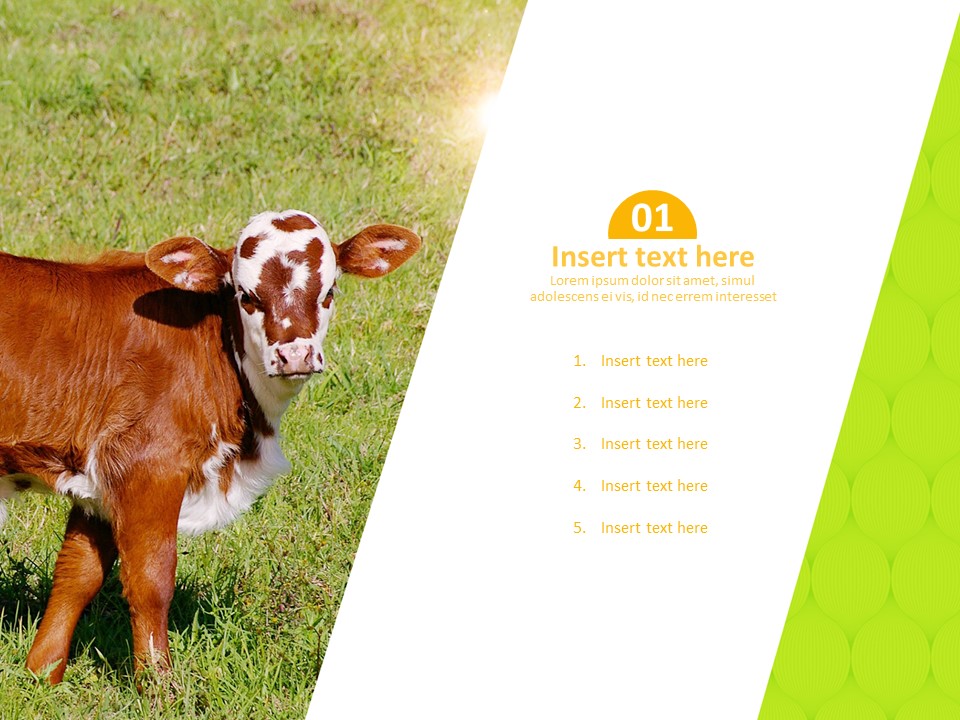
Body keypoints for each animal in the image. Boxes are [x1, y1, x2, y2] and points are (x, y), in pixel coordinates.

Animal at [0, 210, 420, 683]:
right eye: (246, 296)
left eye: (329, 291)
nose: (294, 355)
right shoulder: (148, 465)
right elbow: (150, 581)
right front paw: (158, 685)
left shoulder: (98, 480)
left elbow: (78, 574)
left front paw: (42, 672)